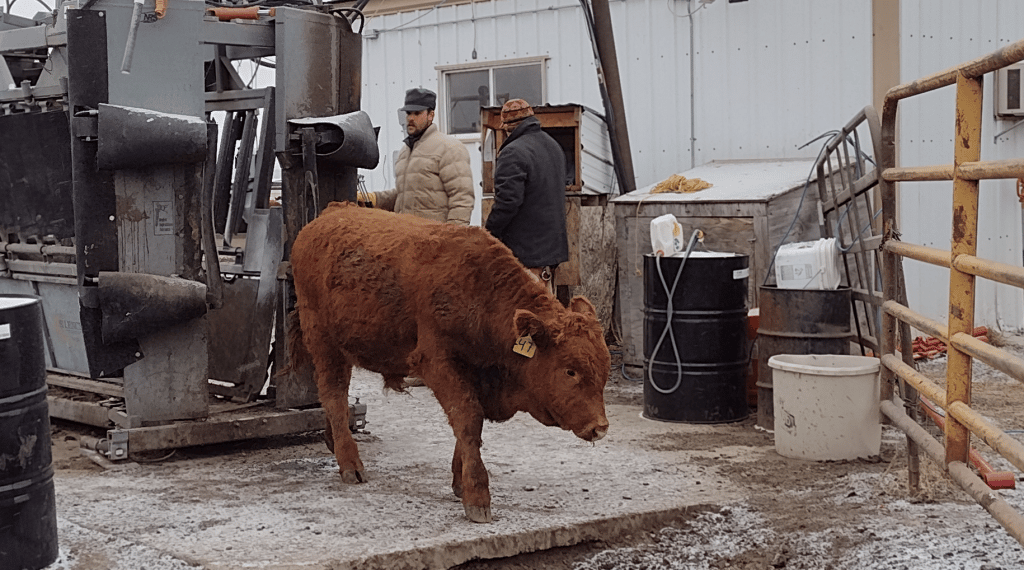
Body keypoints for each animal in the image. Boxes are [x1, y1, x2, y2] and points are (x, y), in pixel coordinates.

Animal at [286, 201, 610, 523]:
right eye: (570, 371)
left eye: (604, 371)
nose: (600, 427)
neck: (480, 293)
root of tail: (332, 212)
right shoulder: (436, 362)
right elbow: (467, 419)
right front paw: (477, 495)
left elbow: (468, 425)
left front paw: (460, 481)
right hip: (323, 343)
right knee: (334, 395)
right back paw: (350, 463)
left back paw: (332, 441)